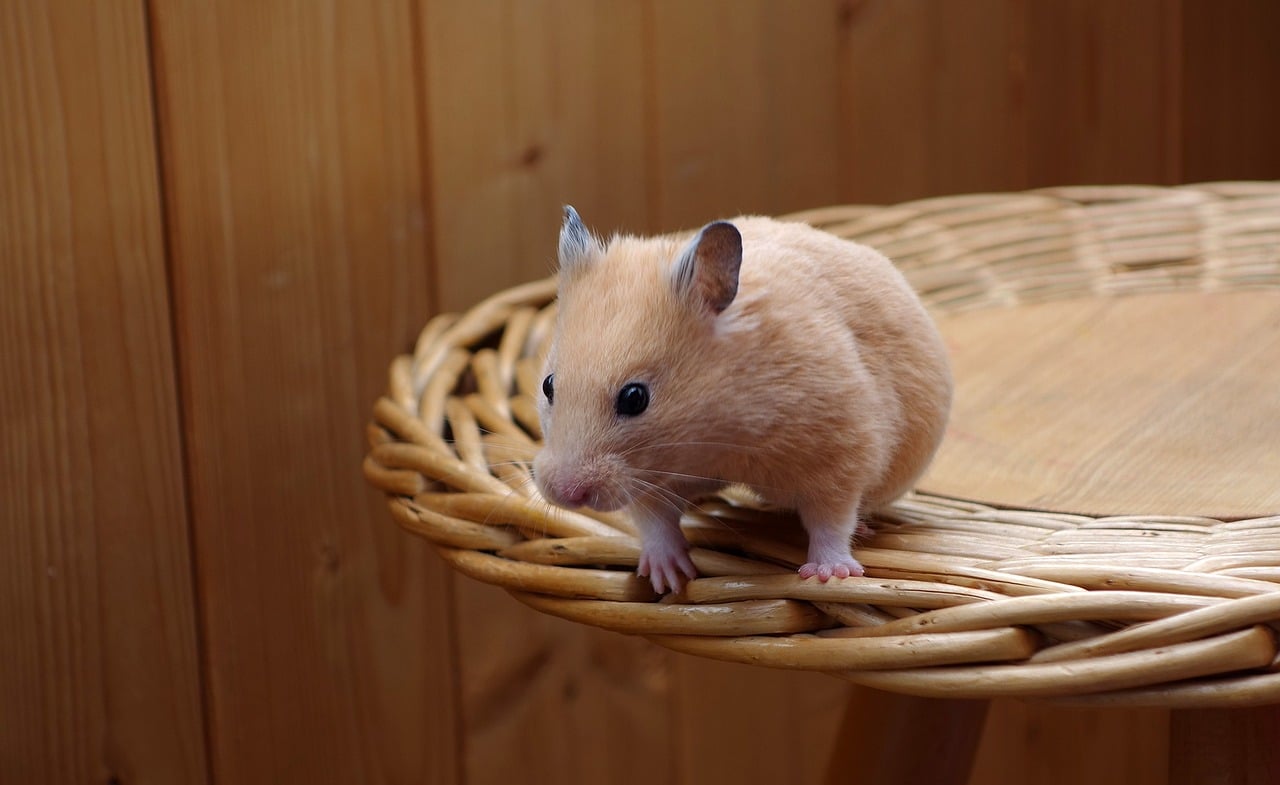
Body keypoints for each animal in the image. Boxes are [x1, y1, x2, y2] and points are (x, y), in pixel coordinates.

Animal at [533, 206, 952, 594]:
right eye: (548, 385)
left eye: (635, 398)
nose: (566, 494)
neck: (715, 435)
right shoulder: (648, 480)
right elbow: (655, 520)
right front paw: (669, 578)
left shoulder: (842, 452)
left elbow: (832, 518)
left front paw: (828, 575)